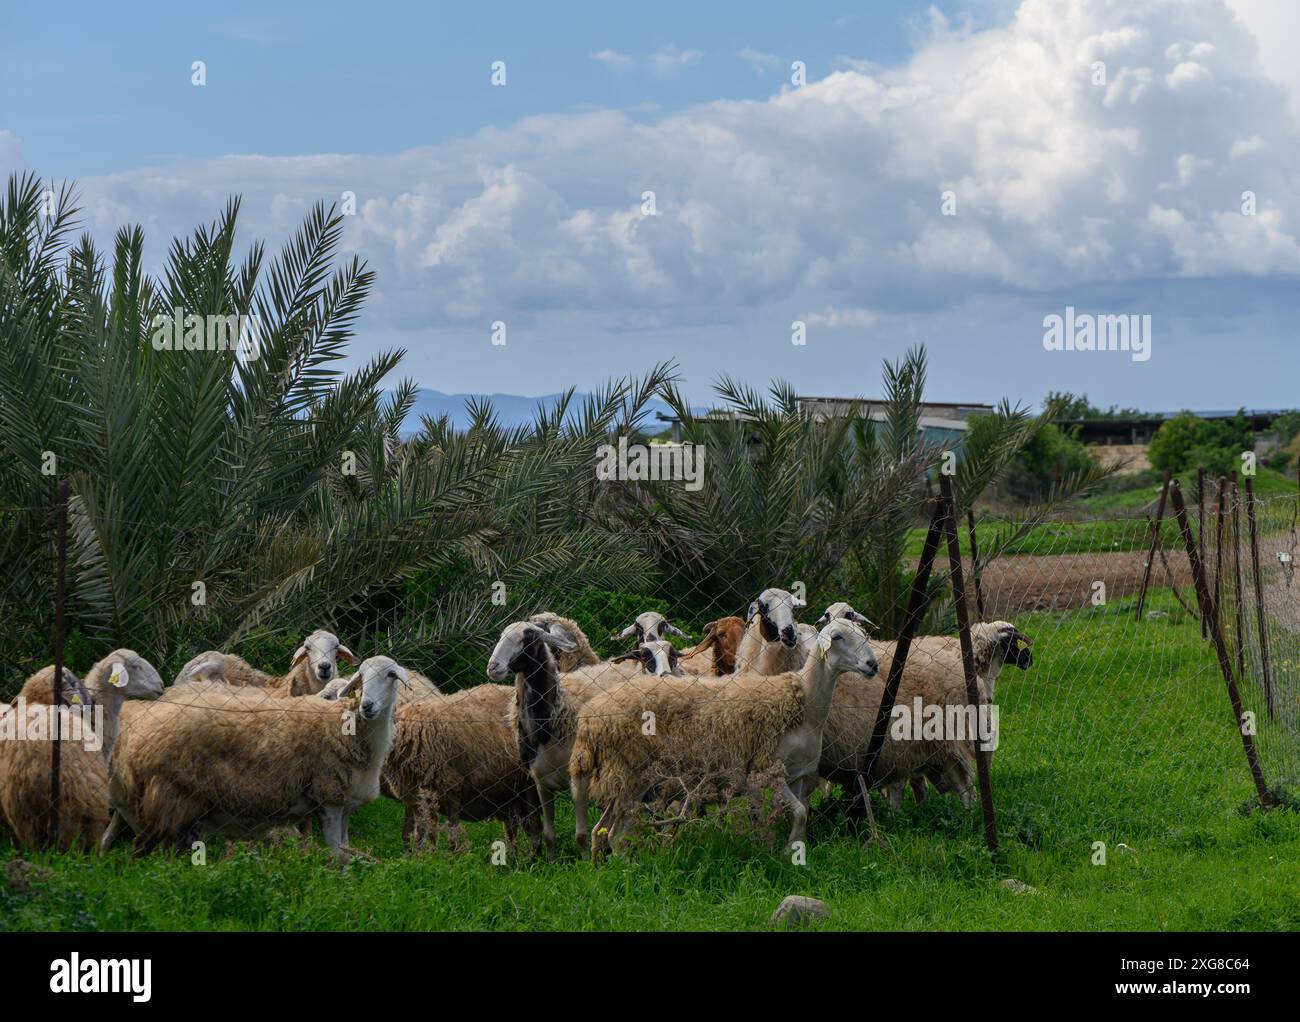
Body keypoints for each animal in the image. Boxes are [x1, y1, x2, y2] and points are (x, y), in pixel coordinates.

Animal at [103, 656, 409, 864]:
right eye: (361, 676)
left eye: (391, 675)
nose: (367, 705)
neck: (347, 729)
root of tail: (145, 731)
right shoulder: (329, 799)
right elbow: (337, 856)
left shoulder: (343, 806)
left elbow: (344, 854)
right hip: (170, 796)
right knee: (141, 846)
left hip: (184, 807)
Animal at [382, 682, 540, 851]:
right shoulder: (415, 796)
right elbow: (419, 835)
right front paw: (421, 856)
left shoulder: (449, 787)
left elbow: (448, 834)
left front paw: (445, 855)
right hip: (510, 793)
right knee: (513, 828)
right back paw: (514, 854)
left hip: (527, 786)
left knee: (533, 825)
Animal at [569, 617, 880, 856]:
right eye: (837, 636)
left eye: (863, 634)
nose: (872, 665)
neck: (805, 700)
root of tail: (590, 718)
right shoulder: (767, 770)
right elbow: (800, 813)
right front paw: (783, 850)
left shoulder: (798, 775)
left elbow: (801, 813)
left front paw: (794, 849)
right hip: (633, 775)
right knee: (616, 836)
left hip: (623, 781)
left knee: (601, 831)